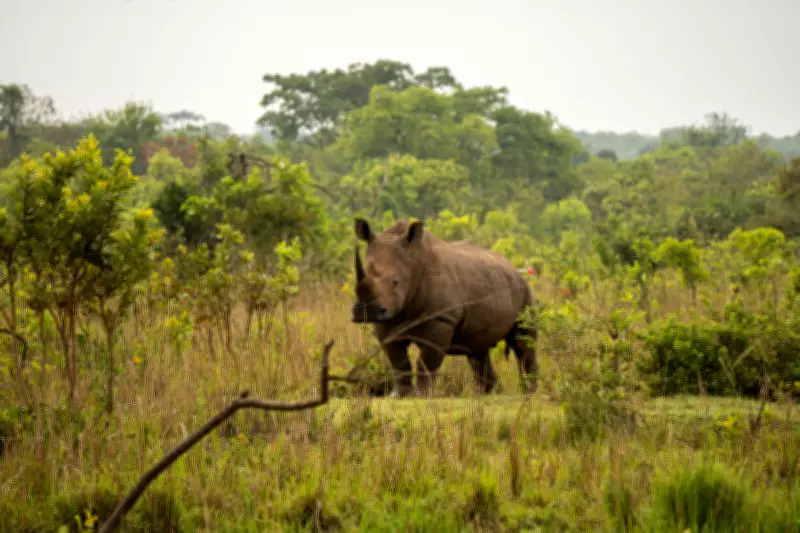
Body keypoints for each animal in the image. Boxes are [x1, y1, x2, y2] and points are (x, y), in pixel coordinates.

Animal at [350, 217, 539, 398]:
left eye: (395, 282)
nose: (367, 312)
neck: (413, 263)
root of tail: (515, 270)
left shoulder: (441, 318)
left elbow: (427, 360)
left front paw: (422, 395)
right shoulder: (387, 319)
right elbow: (398, 361)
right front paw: (398, 395)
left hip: (525, 294)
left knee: (523, 342)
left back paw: (530, 393)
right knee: (478, 349)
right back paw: (486, 394)